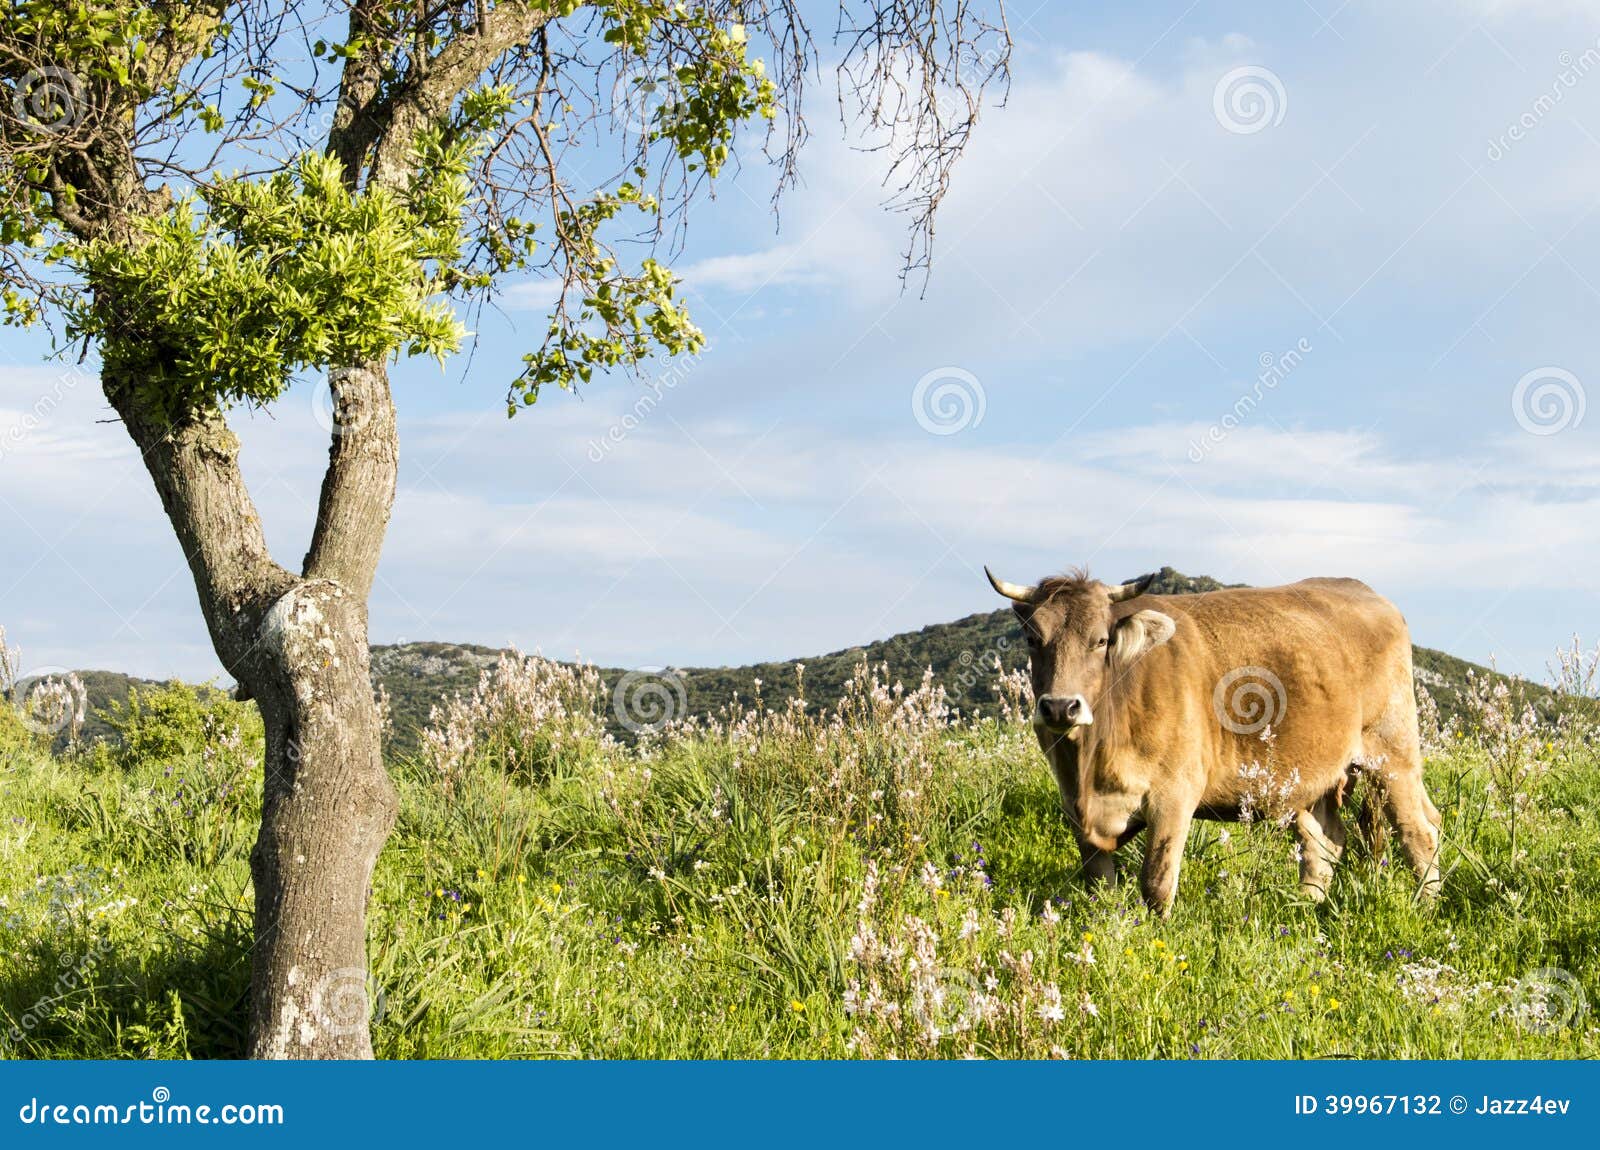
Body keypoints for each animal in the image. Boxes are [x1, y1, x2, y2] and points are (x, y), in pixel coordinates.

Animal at [985, 567, 1442, 914]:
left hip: (1392, 754)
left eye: (1101, 640)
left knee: (1419, 833)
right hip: (1310, 779)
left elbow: (1156, 884)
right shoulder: (1078, 812)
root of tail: (1367, 593)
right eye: (1033, 639)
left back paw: (1425, 908)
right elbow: (1100, 889)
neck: (1090, 765)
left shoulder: (1173, 796)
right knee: (1324, 843)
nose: (1061, 707)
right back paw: (1303, 913)